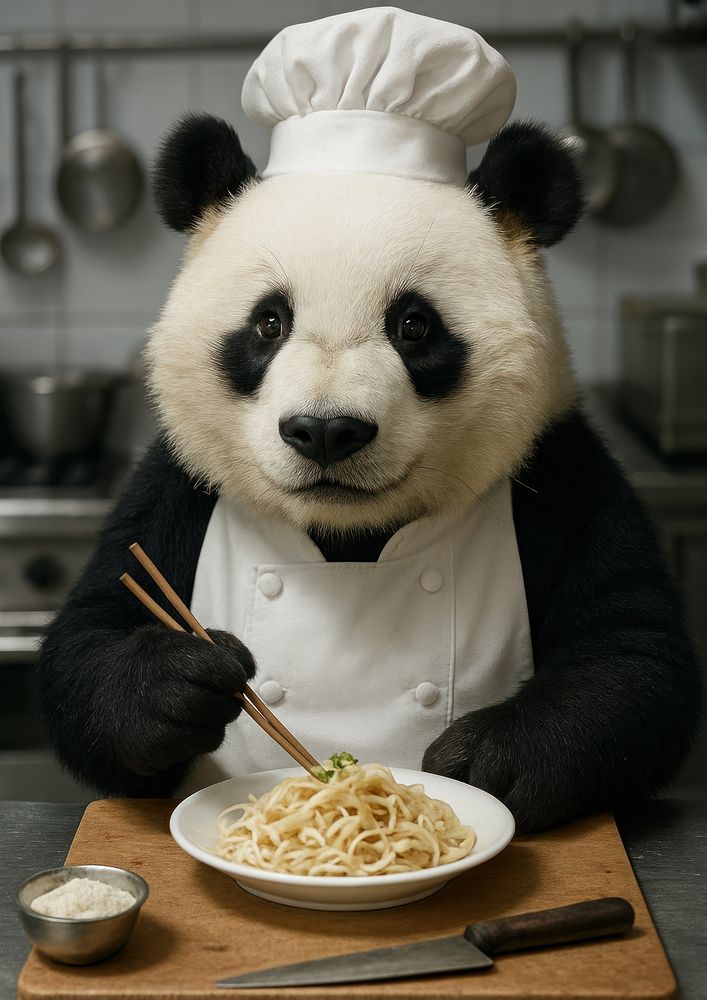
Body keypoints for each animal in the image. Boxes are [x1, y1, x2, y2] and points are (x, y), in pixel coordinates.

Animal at [38, 8, 699, 833]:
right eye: (269, 323)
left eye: (413, 325)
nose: (325, 431)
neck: (348, 537)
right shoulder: (174, 484)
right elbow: (88, 635)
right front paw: (181, 684)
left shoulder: (562, 468)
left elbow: (629, 653)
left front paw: (478, 759)